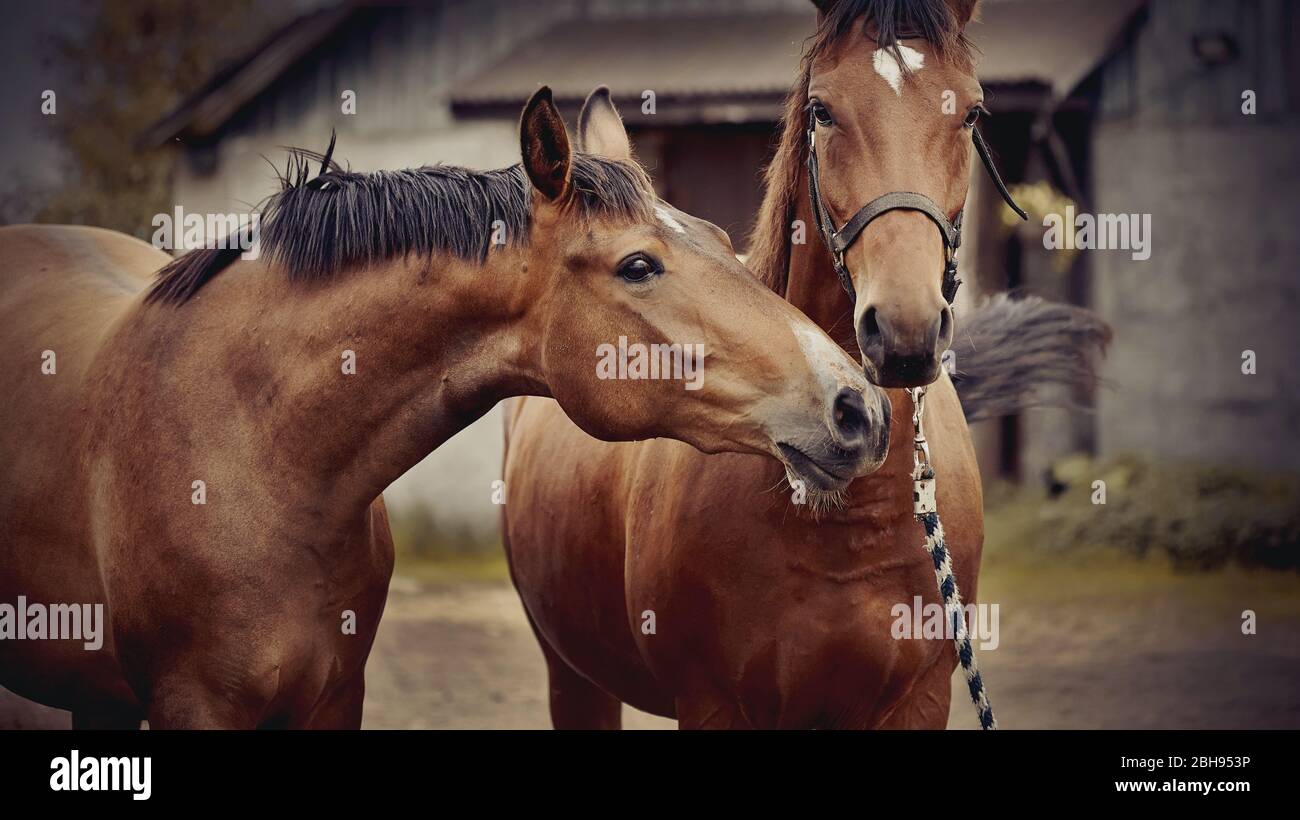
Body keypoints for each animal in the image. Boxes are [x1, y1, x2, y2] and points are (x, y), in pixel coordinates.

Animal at [0, 86, 890, 729]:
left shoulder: (335, 698)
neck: (251, 447)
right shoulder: (198, 708)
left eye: (719, 236)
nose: (857, 407)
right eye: (639, 265)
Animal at [502, 0, 1110, 729]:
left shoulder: (921, 697)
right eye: (822, 109)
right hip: (572, 673)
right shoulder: (712, 702)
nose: (904, 329)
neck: (840, 517)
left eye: (971, 113)